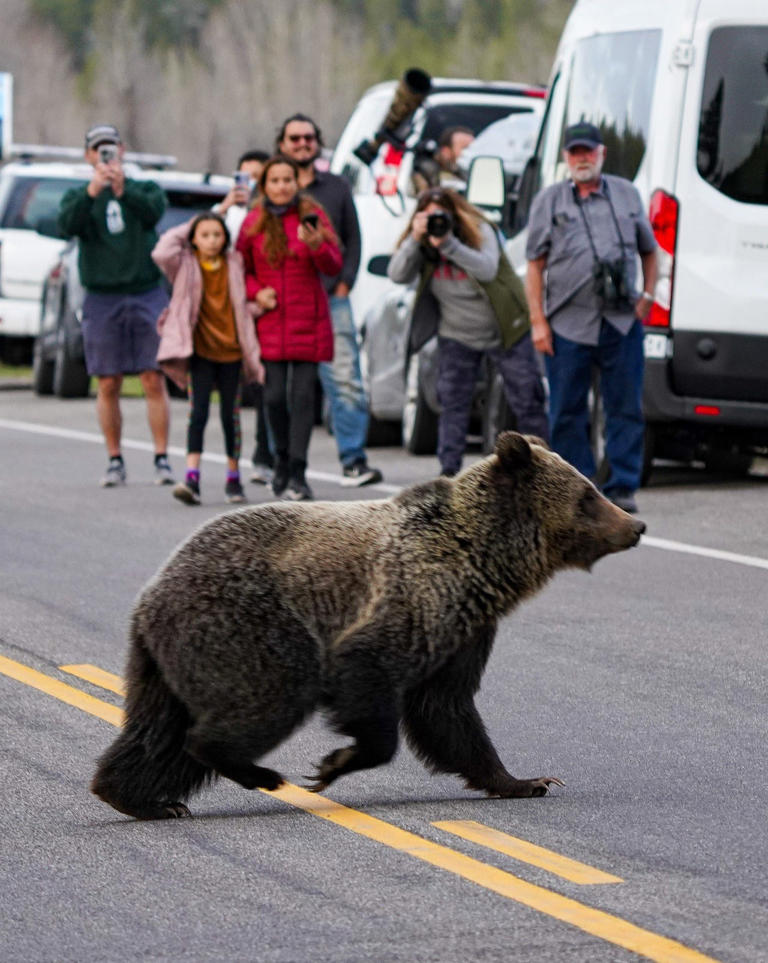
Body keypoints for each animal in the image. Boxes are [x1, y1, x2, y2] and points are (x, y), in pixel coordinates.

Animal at [91, 432, 645, 820]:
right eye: (588, 494)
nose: (636, 524)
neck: (484, 564)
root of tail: (150, 598)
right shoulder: (410, 600)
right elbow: (372, 675)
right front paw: (333, 764)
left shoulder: (463, 631)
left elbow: (449, 711)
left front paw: (525, 780)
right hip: (247, 625)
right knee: (263, 696)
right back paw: (256, 773)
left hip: (171, 659)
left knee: (158, 729)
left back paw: (138, 796)